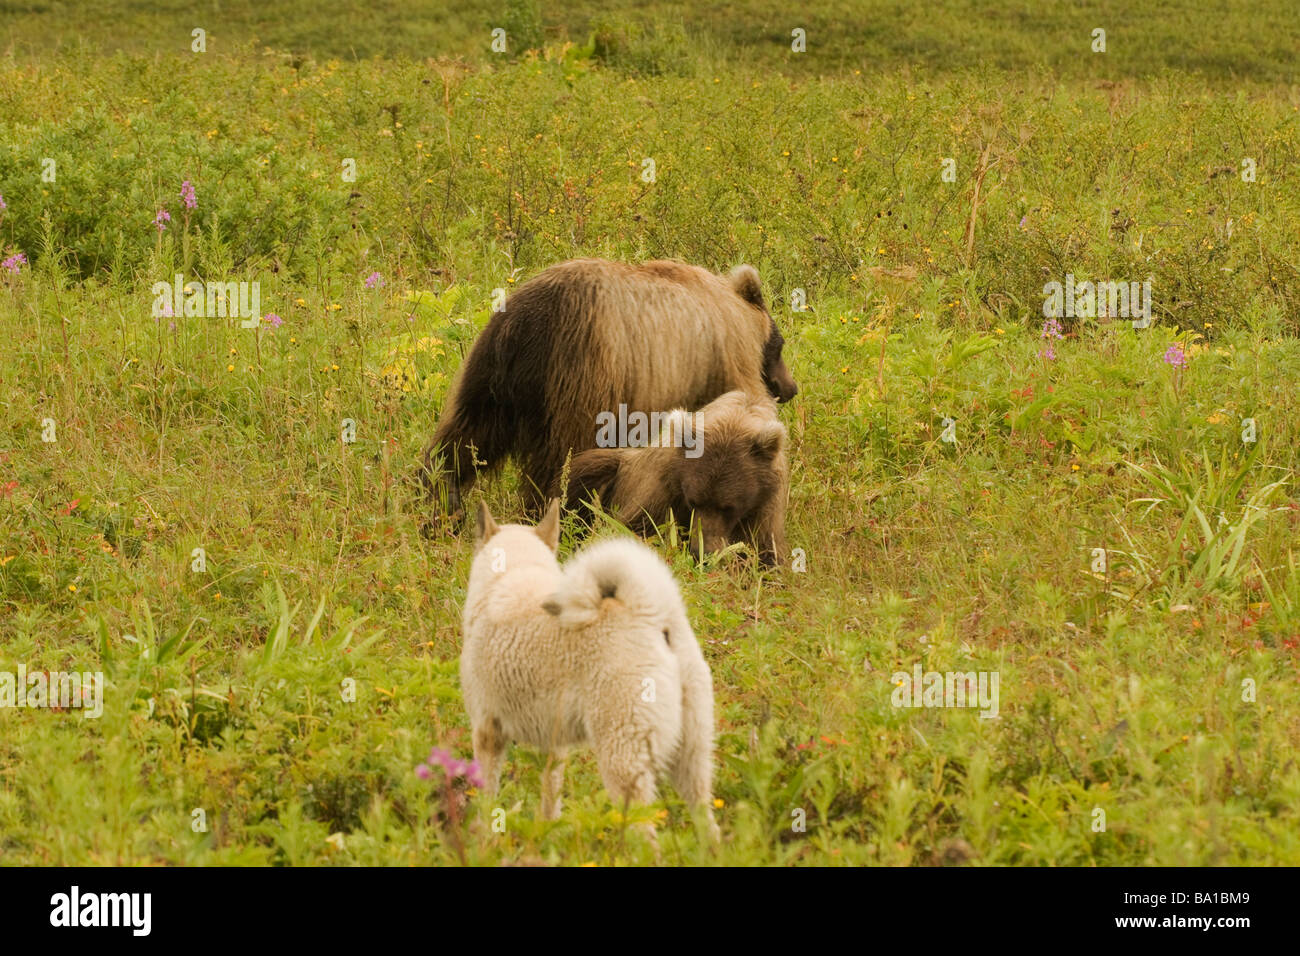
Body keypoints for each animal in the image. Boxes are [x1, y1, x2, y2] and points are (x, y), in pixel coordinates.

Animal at [417, 258, 797, 523]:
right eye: (780, 346)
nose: (790, 388)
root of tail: (529, 327)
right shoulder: (721, 362)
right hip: (586, 376)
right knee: (564, 456)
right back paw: (553, 512)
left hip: (491, 372)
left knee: (466, 436)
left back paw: (440, 501)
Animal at [558, 390, 789, 567]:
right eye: (693, 501)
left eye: (729, 507)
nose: (703, 553)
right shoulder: (662, 488)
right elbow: (637, 528)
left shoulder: (764, 509)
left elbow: (764, 553)